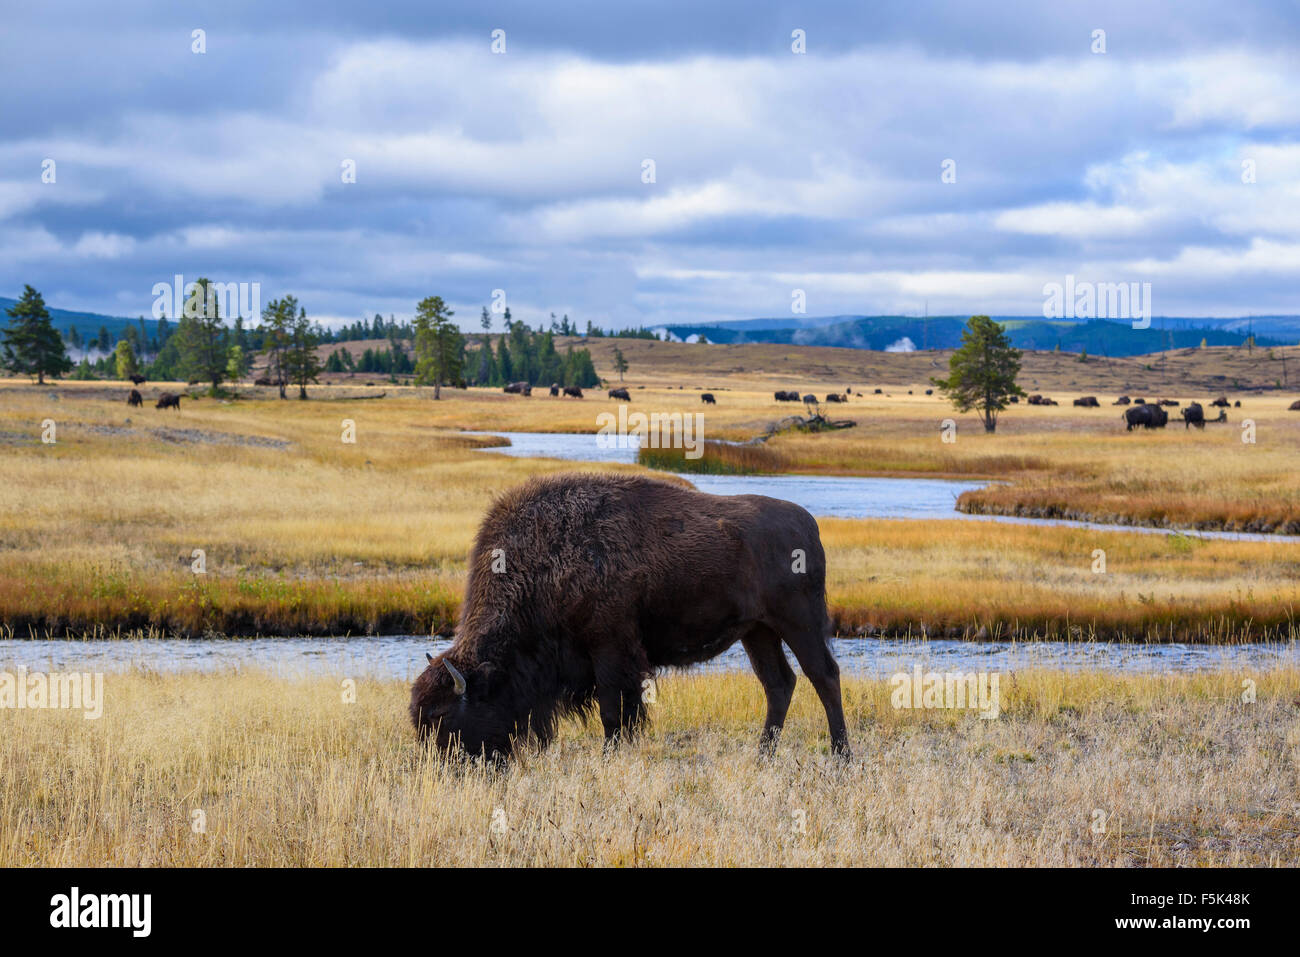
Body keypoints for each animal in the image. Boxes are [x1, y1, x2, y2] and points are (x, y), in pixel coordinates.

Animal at [410, 473, 848, 758]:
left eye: (441, 715)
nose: (442, 766)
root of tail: (809, 526)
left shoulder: (610, 648)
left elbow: (614, 709)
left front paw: (610, 754)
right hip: (757, 631)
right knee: (778, 683)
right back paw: (763, 755)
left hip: (798, 622)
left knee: (822, 675)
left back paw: (841, 755)